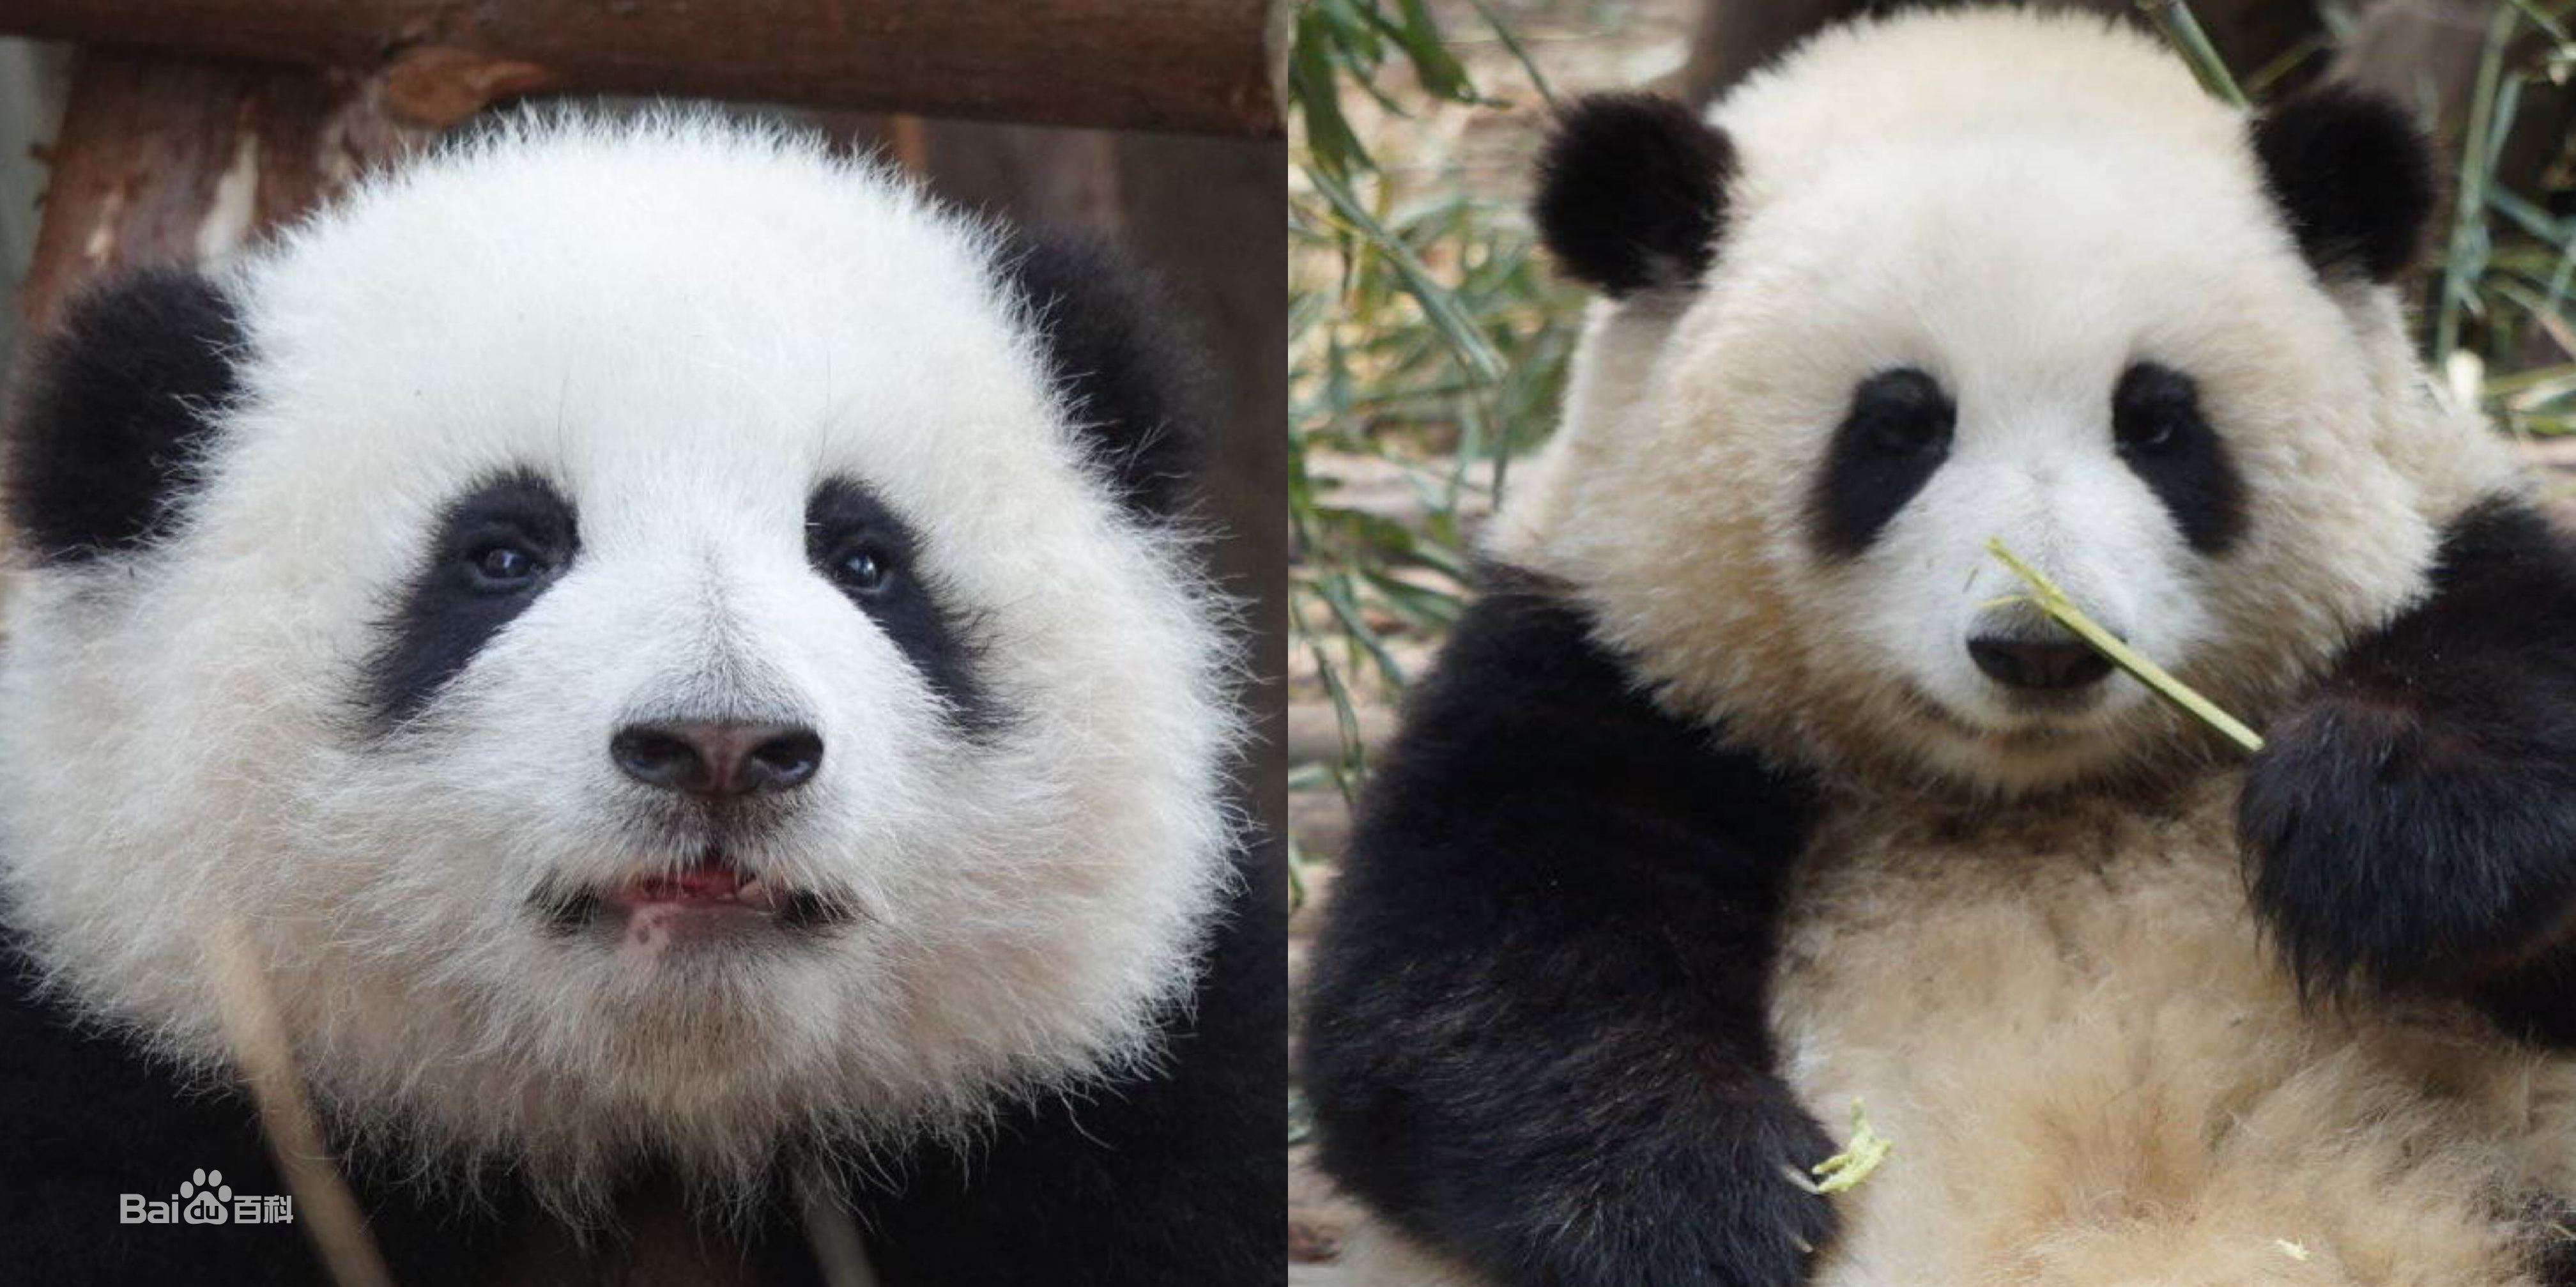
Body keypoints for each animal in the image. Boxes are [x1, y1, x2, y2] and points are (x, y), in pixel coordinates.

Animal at [1304, 9, 2576, 1286]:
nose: (2040, 648)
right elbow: (1451, 984)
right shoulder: (1607, 657)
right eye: (1900, 425)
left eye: (2157, 422)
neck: (2022, 797)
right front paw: (1699, 1202)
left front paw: (2389, 824)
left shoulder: (2459, 555)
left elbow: (2510, 716)